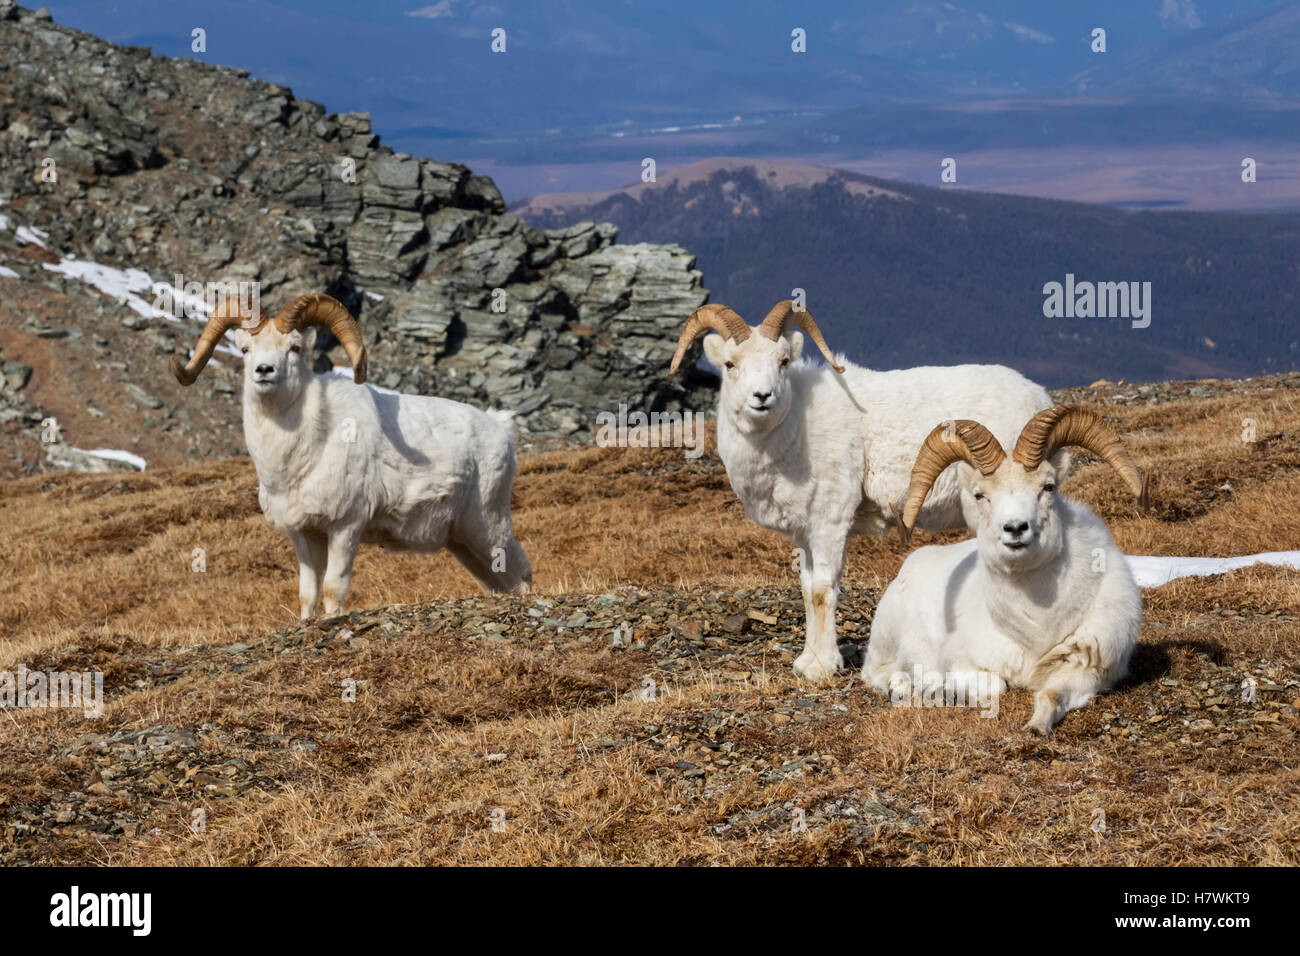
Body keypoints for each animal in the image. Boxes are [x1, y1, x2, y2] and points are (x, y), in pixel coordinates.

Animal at [170, 293, 532, 618]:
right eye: (246, 349)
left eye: (295, 348)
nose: (264, 371)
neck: (301, 457)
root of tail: (500, 426)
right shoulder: (304, 534)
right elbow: (307, 594)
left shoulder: (346, 527)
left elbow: (333, 588)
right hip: (464, 542)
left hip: (487, 526)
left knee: (521, 570)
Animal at [668, 300, 1053, 681]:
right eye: (730, 364)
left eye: (783, 361)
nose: (762, 397)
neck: (795, 431)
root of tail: (1038, 398)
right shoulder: (804, 533)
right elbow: (806, 590)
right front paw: (806, 662)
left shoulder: (830, 524)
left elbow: (822, 591)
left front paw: (823, 667)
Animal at [862, 405, 1147, 734]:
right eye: (980, 495)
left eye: (1048, 486)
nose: (1015, 528)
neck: (1036, 628)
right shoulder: (964, 662)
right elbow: (997, 685)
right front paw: (940, 688)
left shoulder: (1086, 670)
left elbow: (1051, 695)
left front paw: (1036, 727)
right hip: (887, 643)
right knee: (877, 672)